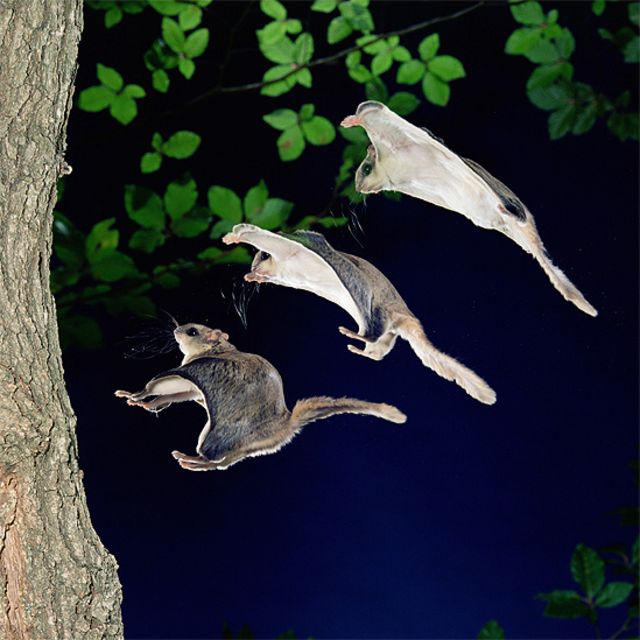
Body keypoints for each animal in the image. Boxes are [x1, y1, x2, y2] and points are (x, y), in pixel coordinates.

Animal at [114, 323, 407, 471]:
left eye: (192, 331)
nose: (176, 330)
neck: (218, 349)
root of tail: (283, 424)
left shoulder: (193, 369)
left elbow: (157, 385)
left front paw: (136, 394)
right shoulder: (192, 389)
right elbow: (173, 396)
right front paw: (143, 402)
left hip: (215, 436)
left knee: (215, 459)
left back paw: (191, 459)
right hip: (239, 445)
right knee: (224, 463)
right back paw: (192, 463)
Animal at [223, 224, 496, 405]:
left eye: (262, 256)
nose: (252, 272)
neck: (284, 267)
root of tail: (406, 316)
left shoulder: (294, 248)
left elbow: (263, 236)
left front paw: (235, 236)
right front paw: (252, 276)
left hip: (372, 307)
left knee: (372, 333)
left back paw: (353, 334)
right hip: (385, 331)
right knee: (378, 351)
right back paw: (358, 348)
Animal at [341, 100, 597, 317]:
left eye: (365, 169)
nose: (358, 188)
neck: (392, 171)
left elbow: (368, 111)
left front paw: (352, 120)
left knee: (506, 209)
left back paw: (508, 210)